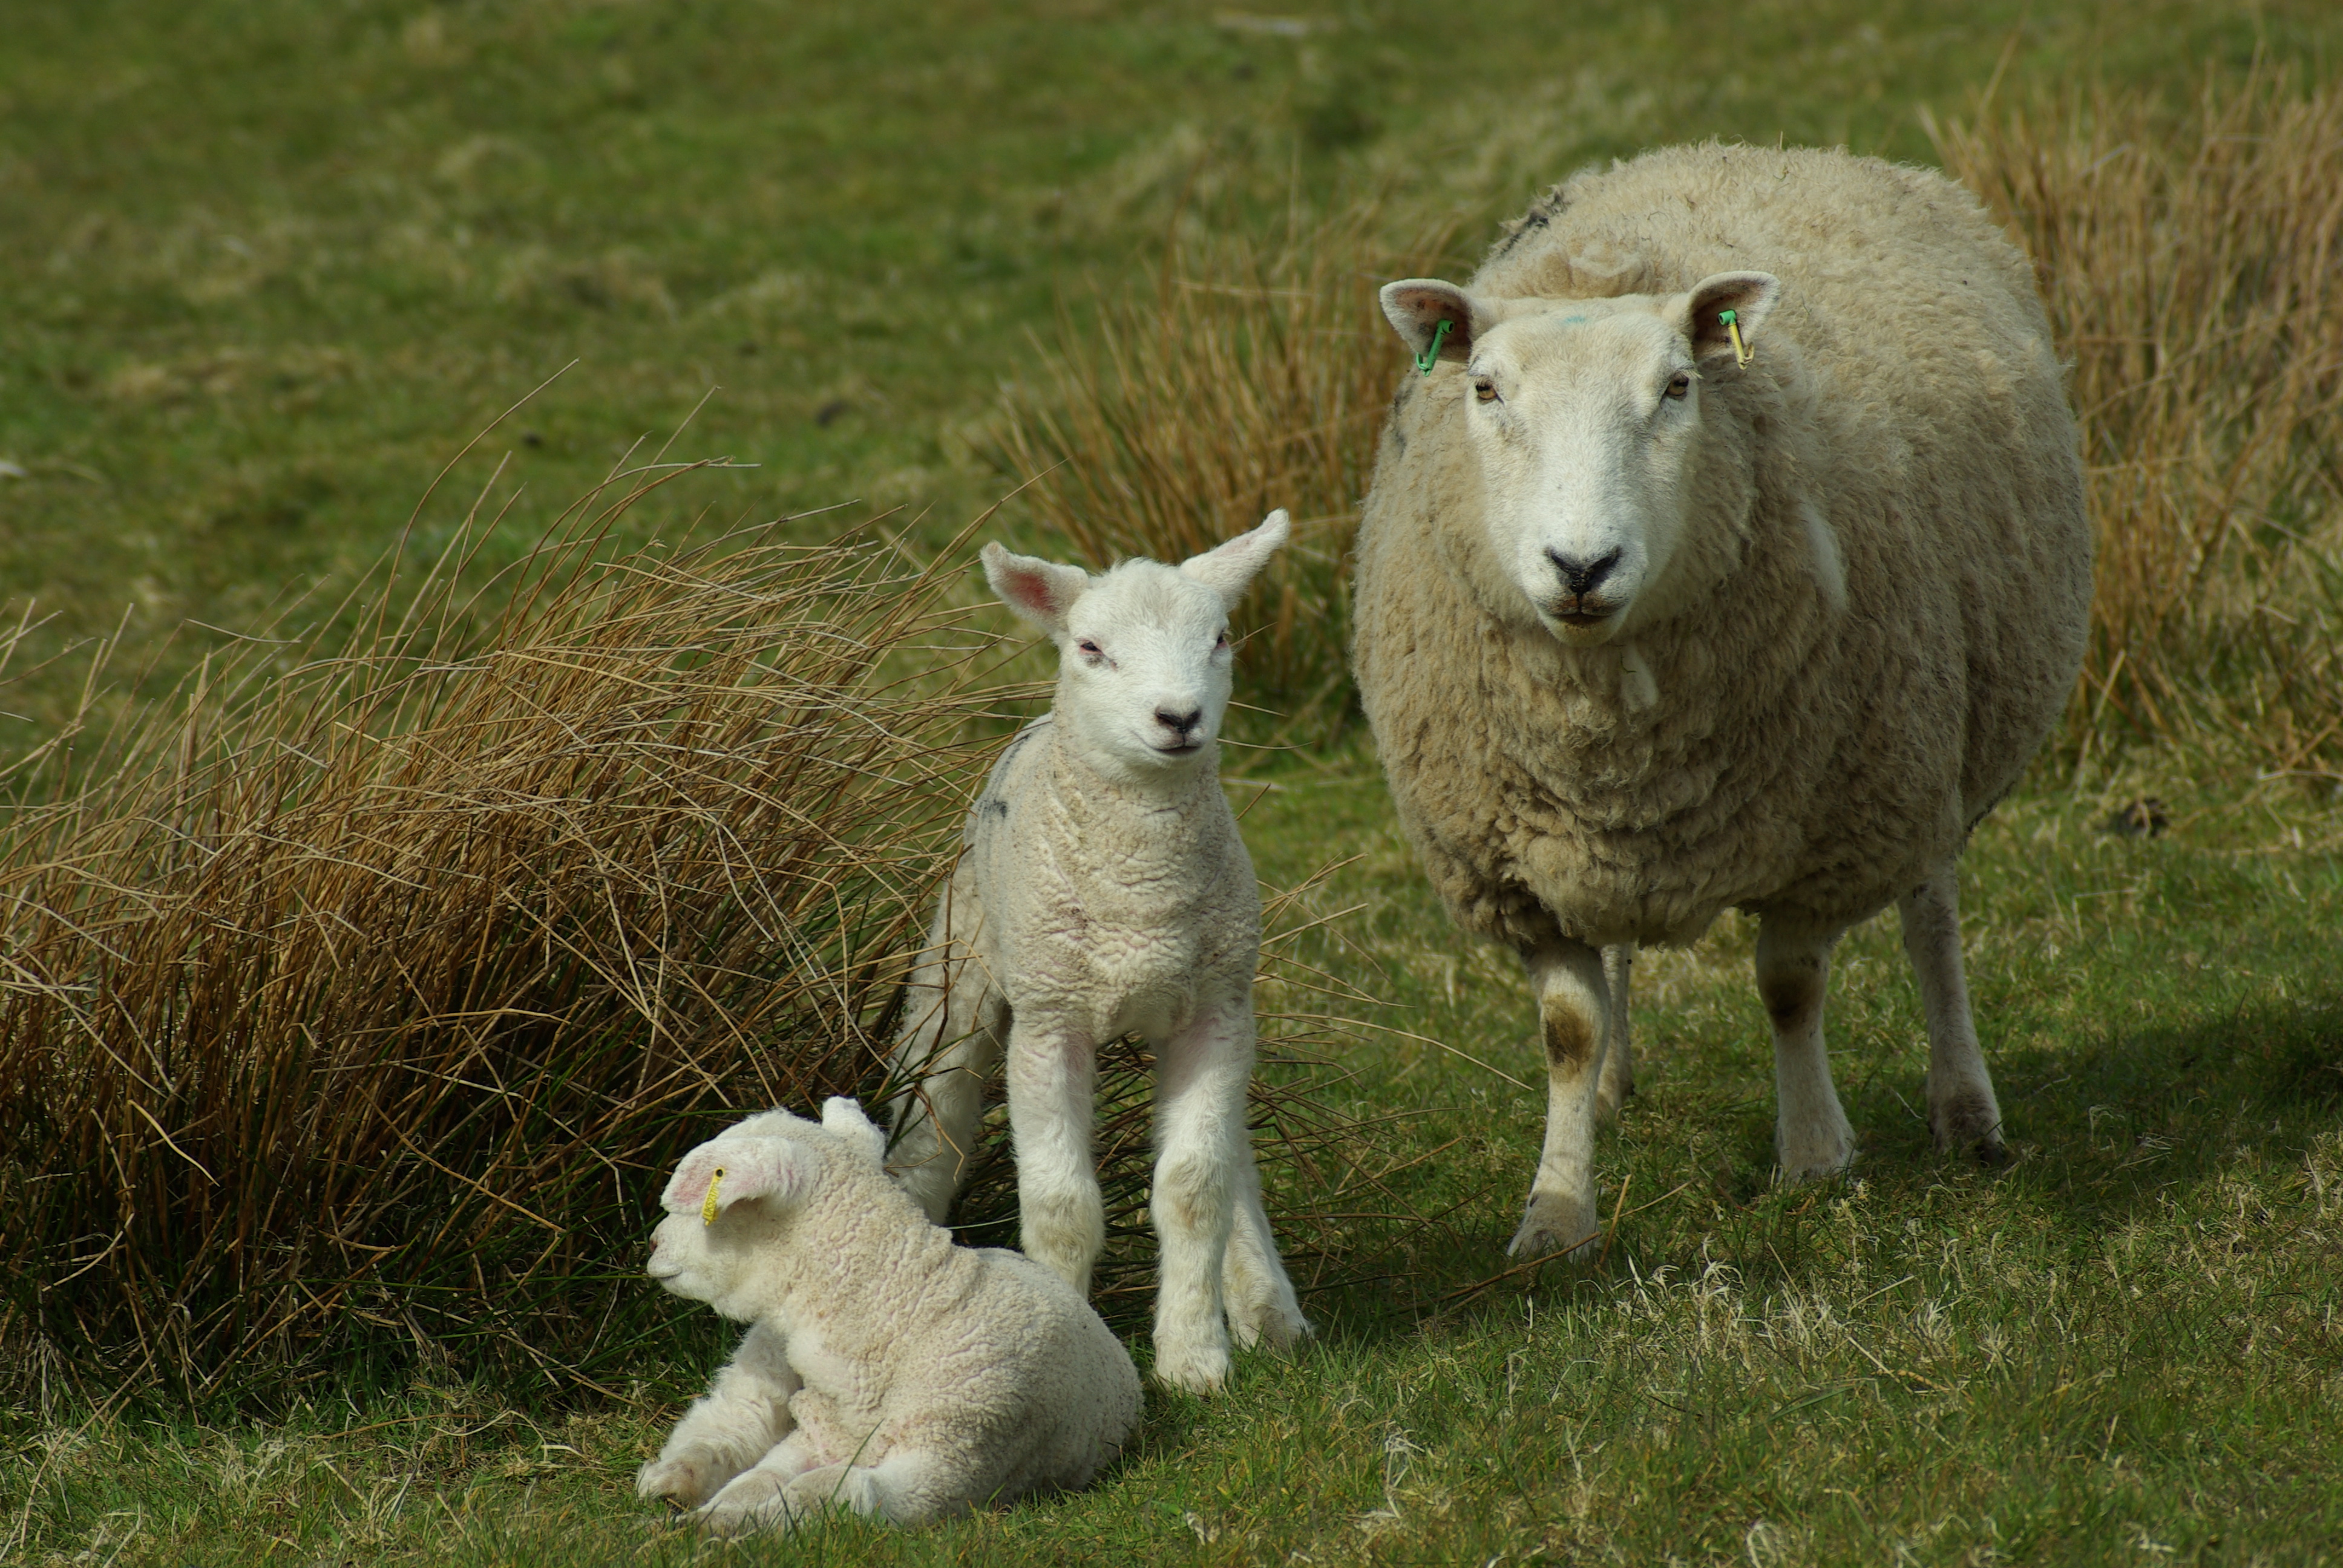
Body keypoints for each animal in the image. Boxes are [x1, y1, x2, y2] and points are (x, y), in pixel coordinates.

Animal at [635, 1097, 1142, 1535]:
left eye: (715, 1194)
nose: (653, 1243)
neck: (904, 1312)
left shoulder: (945, 1467)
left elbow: (826, 1489)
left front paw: (718, 1526)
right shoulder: (818, 1434)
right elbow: (760, 1479)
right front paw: (712, 1518)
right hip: (766, 1354)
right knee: (733, 1417)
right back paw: (673, 1477)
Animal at [882, 511, 1313, 1395]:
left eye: (1221, 637)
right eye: (1090, 649)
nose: (1178, 718)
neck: (1140, 899)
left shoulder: (1215, 1013)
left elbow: (1195, 1190)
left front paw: (1195, 1359)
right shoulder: (1051, 1022)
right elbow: (1062, 1209)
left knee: (1233, 1165)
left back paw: (1268, 1309)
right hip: (960, 966)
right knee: (931, 1120)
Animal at [1351, 143, 2093, 1258]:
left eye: (1677, 388)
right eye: (1484, 388)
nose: (1582, 566)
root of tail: (1778, 149)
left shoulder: (1832, 829)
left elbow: (1790, 988)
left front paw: (1814, 1156)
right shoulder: (1520, 864)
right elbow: (1566, 1031)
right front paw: (1557, 1210)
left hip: (1925, 751)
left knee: (1931, 919)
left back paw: (1966, 1111)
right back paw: (1615, 1089)